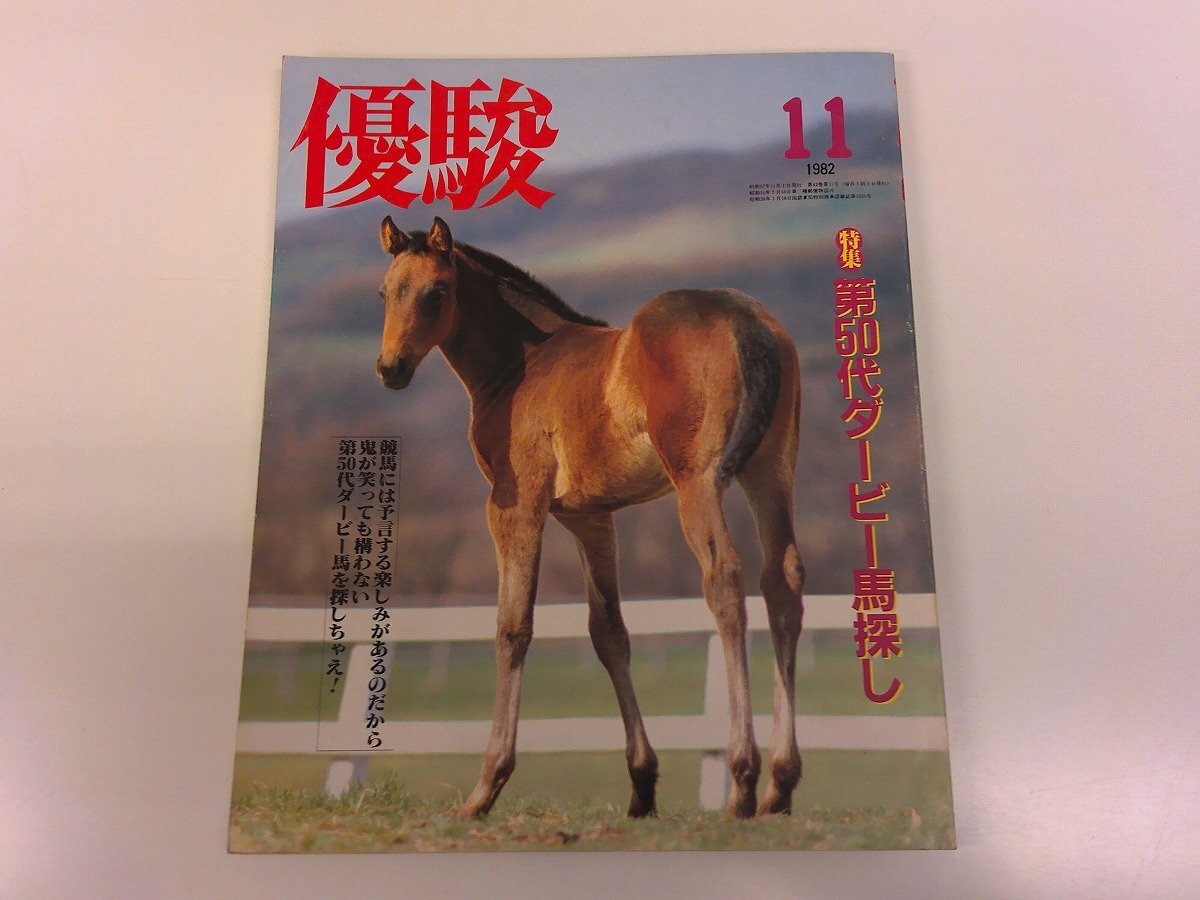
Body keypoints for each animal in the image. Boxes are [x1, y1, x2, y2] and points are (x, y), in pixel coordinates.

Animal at [374, 215, 805, 820]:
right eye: (386, 292)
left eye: (437, 292)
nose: (391, 369)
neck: (523, 364)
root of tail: (745, 319)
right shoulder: (591, 519)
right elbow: (609, 633)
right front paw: (642, 788)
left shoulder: (514, 505)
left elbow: (513, 627)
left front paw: (485, 789)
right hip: (771, 476)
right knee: (782, 584)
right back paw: (780, 786)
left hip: (698, 483)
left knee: (724, 580)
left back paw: (743, 781)